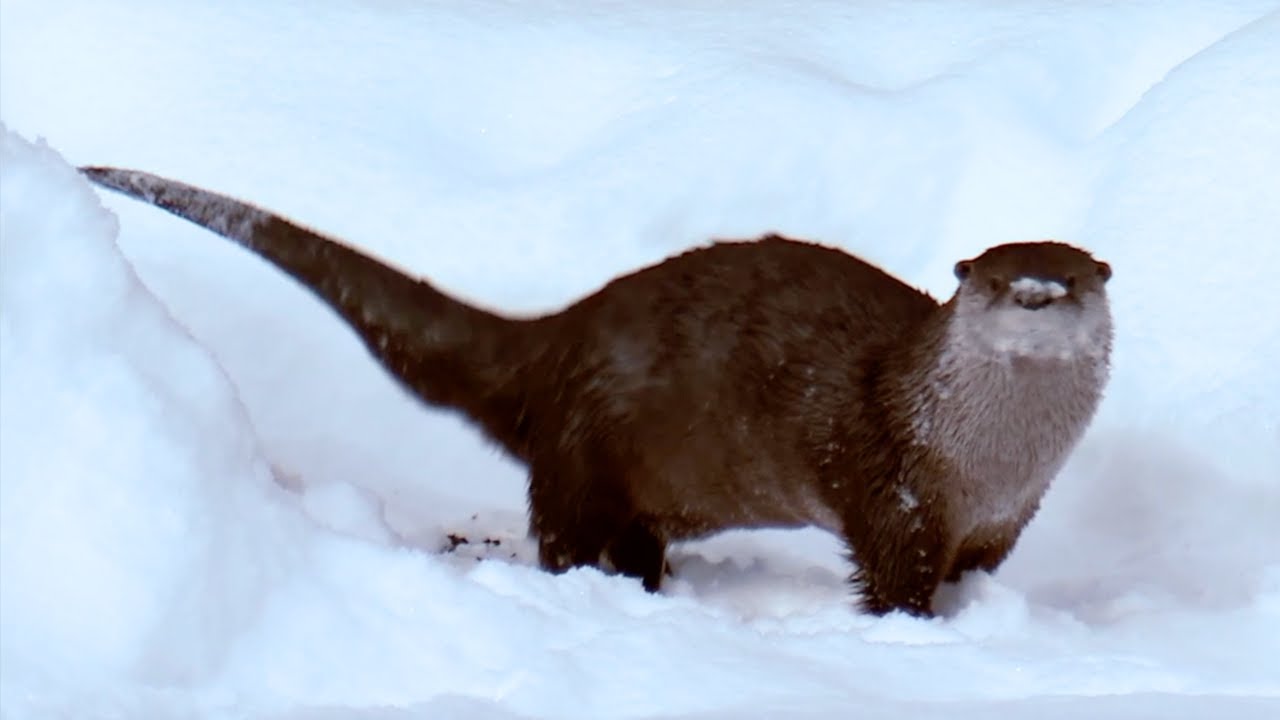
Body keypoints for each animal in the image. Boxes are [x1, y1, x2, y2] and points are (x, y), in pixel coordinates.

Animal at [81, 166, 1112, 616]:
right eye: (990, 281)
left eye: (1073, 279)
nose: (1034, 293)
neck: (987, 464)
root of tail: (561, 335)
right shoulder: (890, 487)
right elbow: (894, 578)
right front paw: (913, 627)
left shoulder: (1006, 515)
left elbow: (978, 569)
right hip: (587, 450)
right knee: (566, 537)